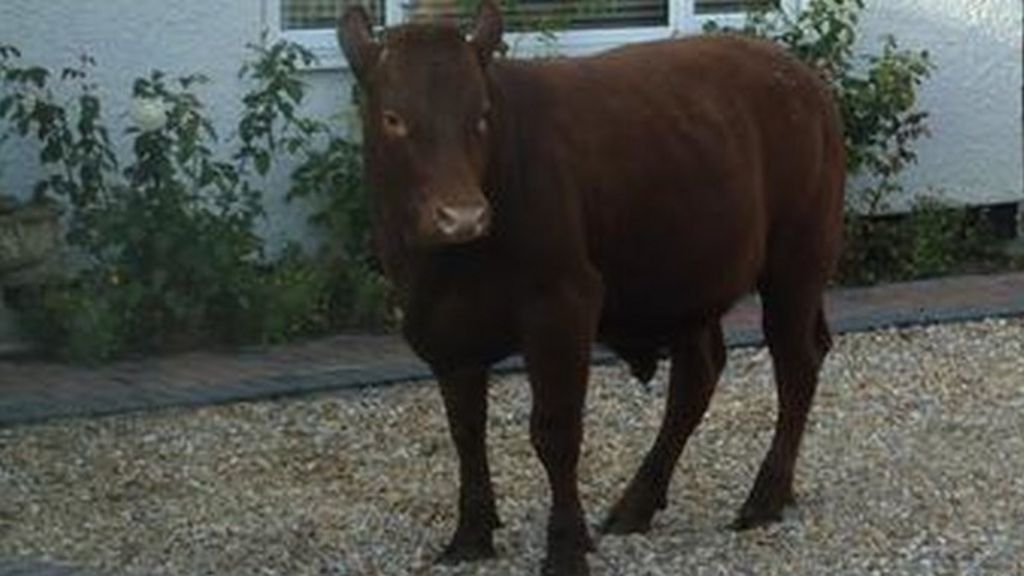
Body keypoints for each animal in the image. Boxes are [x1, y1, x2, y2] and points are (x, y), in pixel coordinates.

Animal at [337, 1, 844, 574]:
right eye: (393, 118)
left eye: (482, 116)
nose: (462, 216)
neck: (451, 268)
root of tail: (798, 75)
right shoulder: (442, 326)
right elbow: (466, 430)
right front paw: (469, 535)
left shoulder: (562, 303)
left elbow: (554, 430)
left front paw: (564, 546)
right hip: (689, 275)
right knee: (697, 377)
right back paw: (637, 504)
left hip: (797, 261)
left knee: (795, 364)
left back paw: (765, 496)